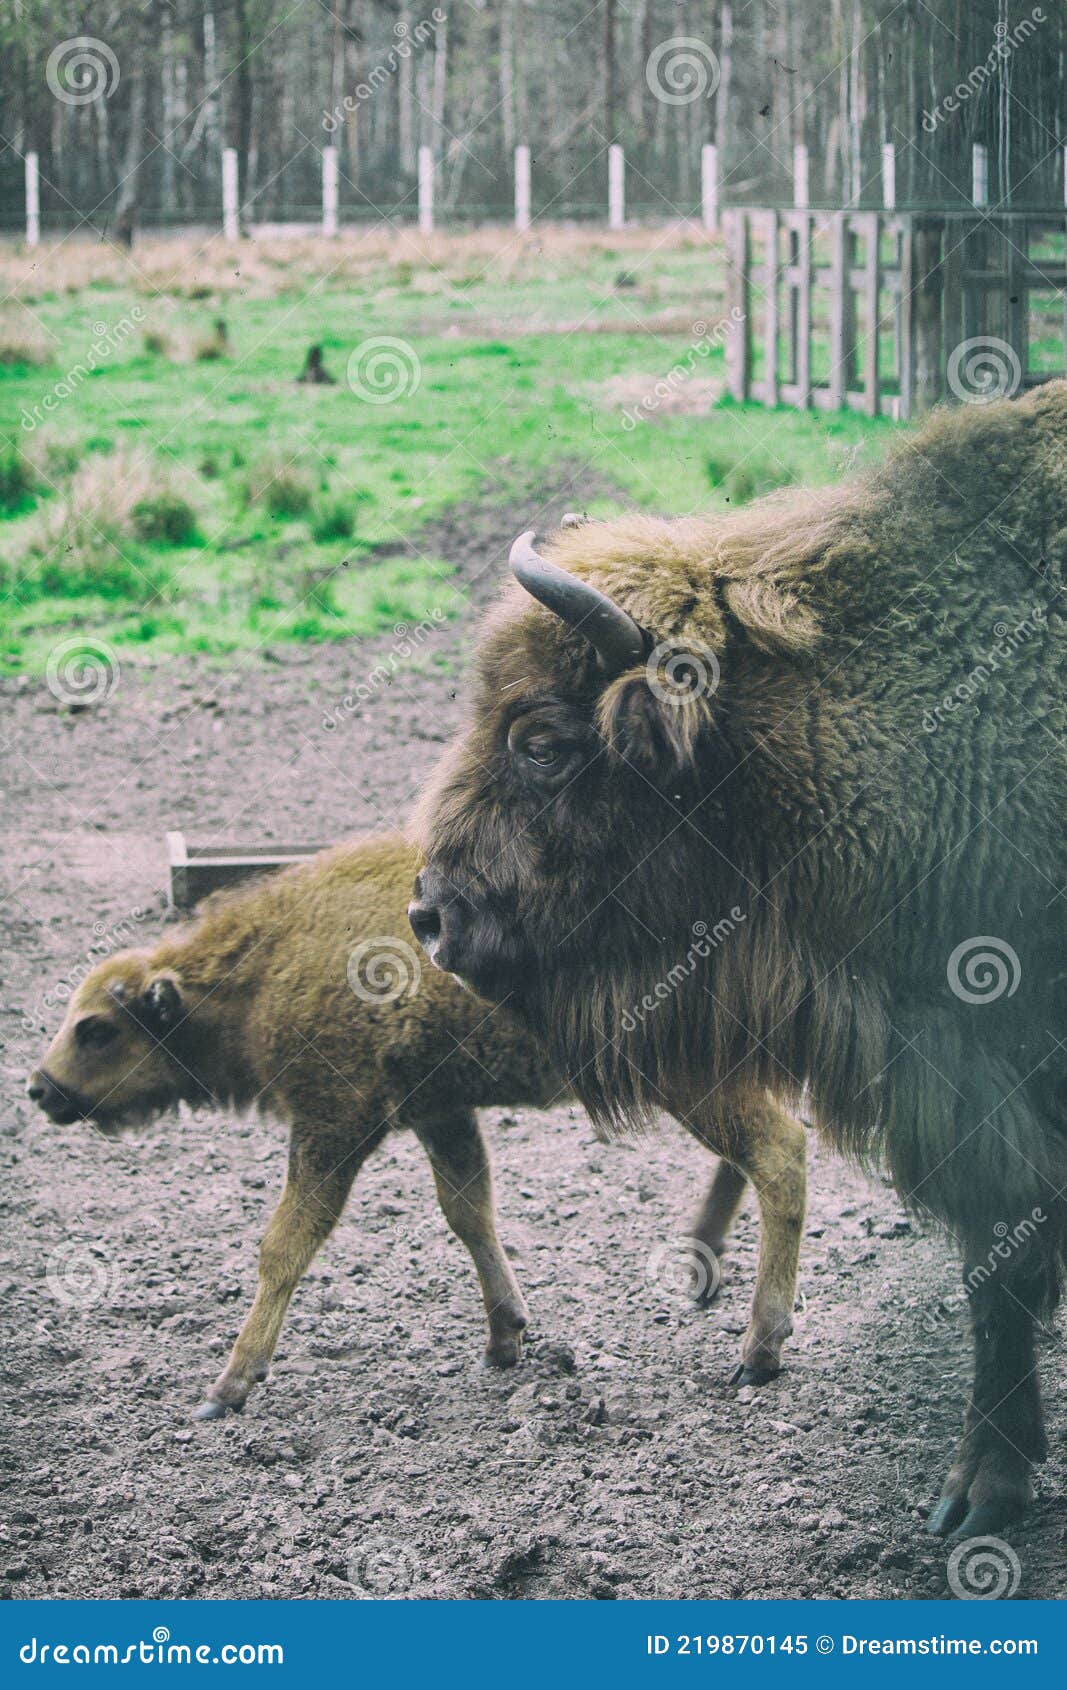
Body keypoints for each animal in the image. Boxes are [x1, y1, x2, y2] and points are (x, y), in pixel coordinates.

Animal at [411, 384, 1066, 1538]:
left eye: (542, 741)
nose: (431, 917)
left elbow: (1007, 1254)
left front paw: (978, 1488)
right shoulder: (973, 1071)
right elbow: (1004, 1254)